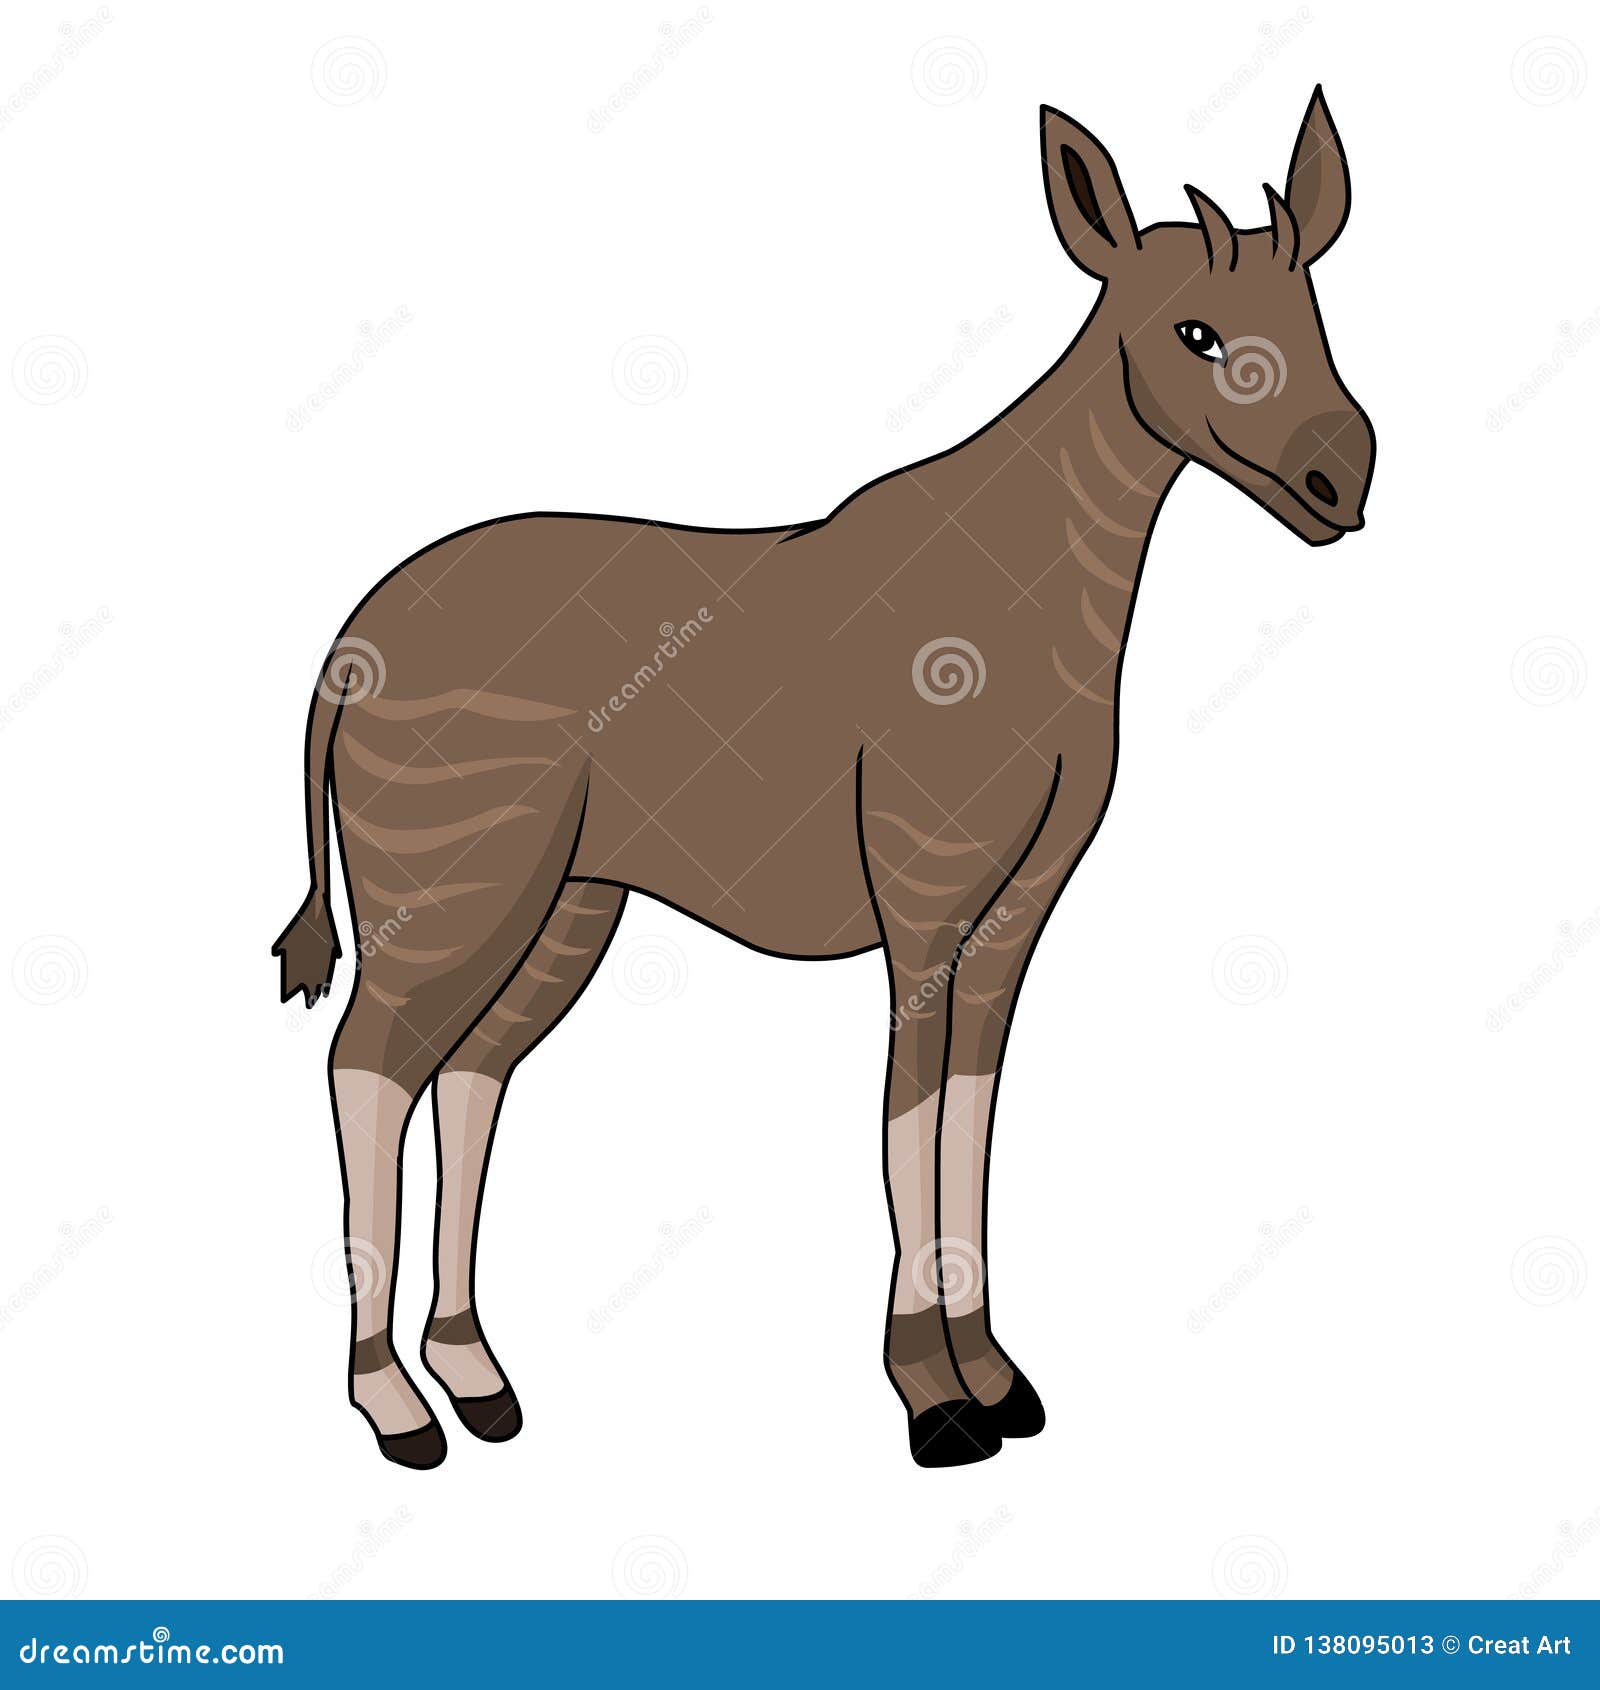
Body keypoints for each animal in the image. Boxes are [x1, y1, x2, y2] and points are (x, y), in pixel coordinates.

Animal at [274, 88, 1374, 1469]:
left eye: (1315, 312)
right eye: (1195, 331)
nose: (1344, 477)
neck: (1036, 601)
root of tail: (343, 651)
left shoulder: (1015, 905)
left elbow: (969, 1114)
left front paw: (996, 1375)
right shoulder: (922, 883)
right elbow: (906, 1110)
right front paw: (932, 1396)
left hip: (563, 901)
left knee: (468, 1073)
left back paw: (475, 1377)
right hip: (454, 882)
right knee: (366, 1063)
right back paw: (392, 1402)